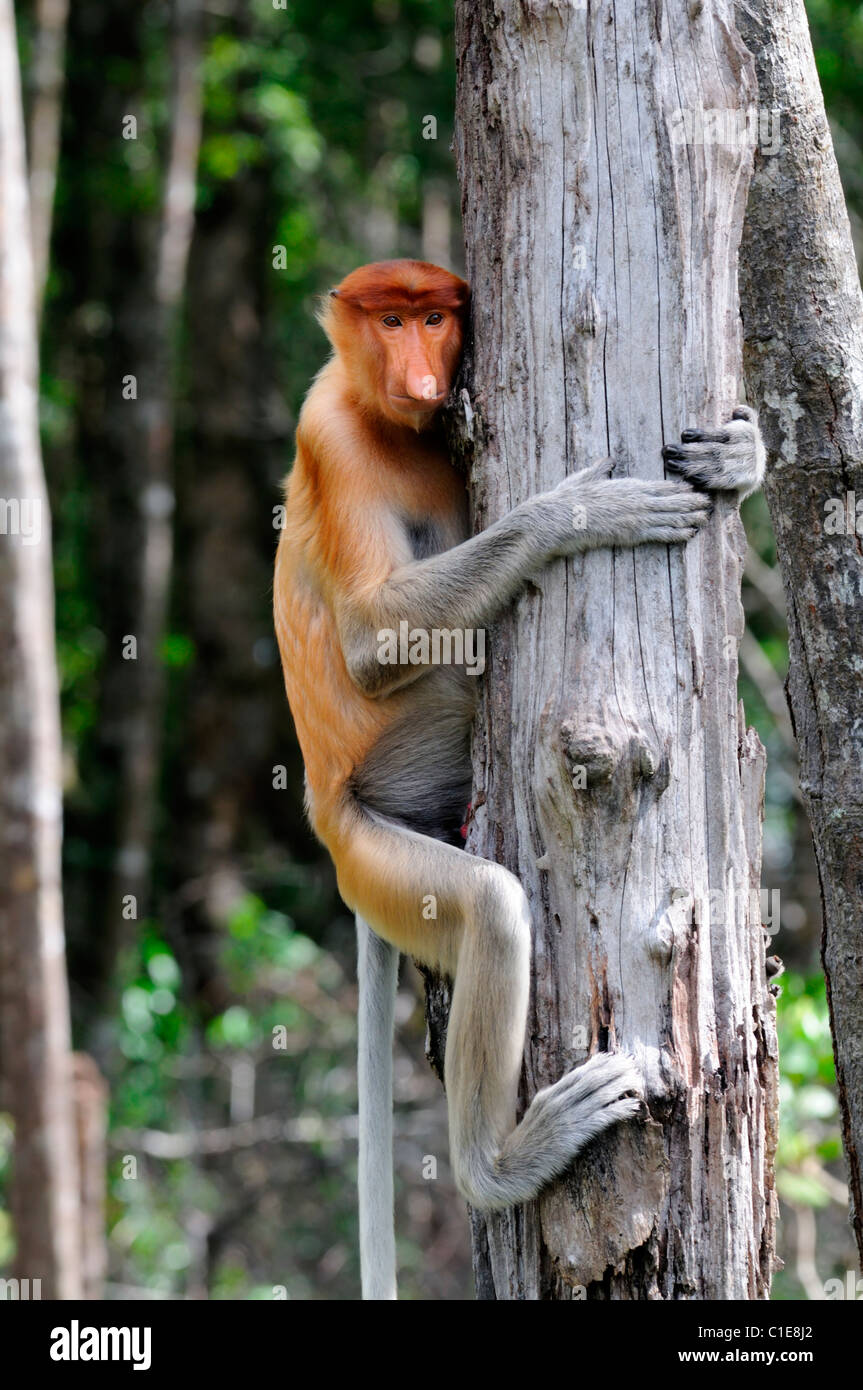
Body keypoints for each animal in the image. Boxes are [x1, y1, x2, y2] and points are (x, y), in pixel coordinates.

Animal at [273, 259, 765, 1300]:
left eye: (433, 318)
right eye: (389, 321)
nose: (422, 372)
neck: (383, 420)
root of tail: (330, 816)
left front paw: (740, 454)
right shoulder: (327, 437)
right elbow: (373, 647)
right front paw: (580, 515)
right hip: (370, 852)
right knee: (491, 908)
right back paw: (501, 1165)